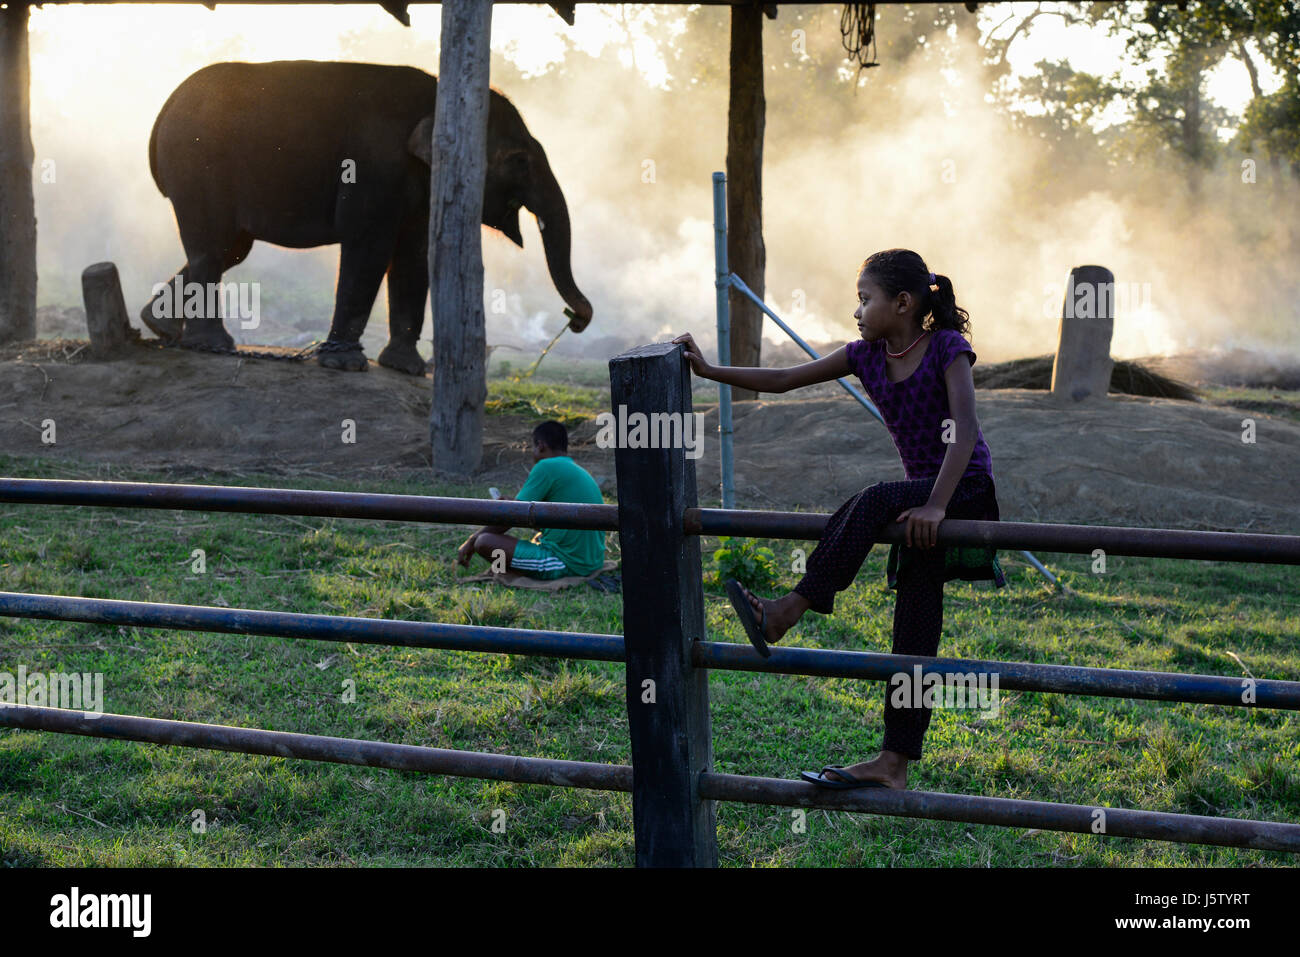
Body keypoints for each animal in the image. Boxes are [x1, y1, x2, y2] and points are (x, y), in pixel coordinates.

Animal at [141, 60, 593, 373]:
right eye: (519, 161)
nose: (575, 320)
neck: (437, 96)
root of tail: (163, 110)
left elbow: (413, 255)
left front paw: (405, 369)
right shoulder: (375, 168)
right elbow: (370, 247)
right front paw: (345, 365)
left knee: (231, 249)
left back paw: (161, 328)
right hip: (198, 165)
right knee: (214, 247)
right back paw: (212, 345)